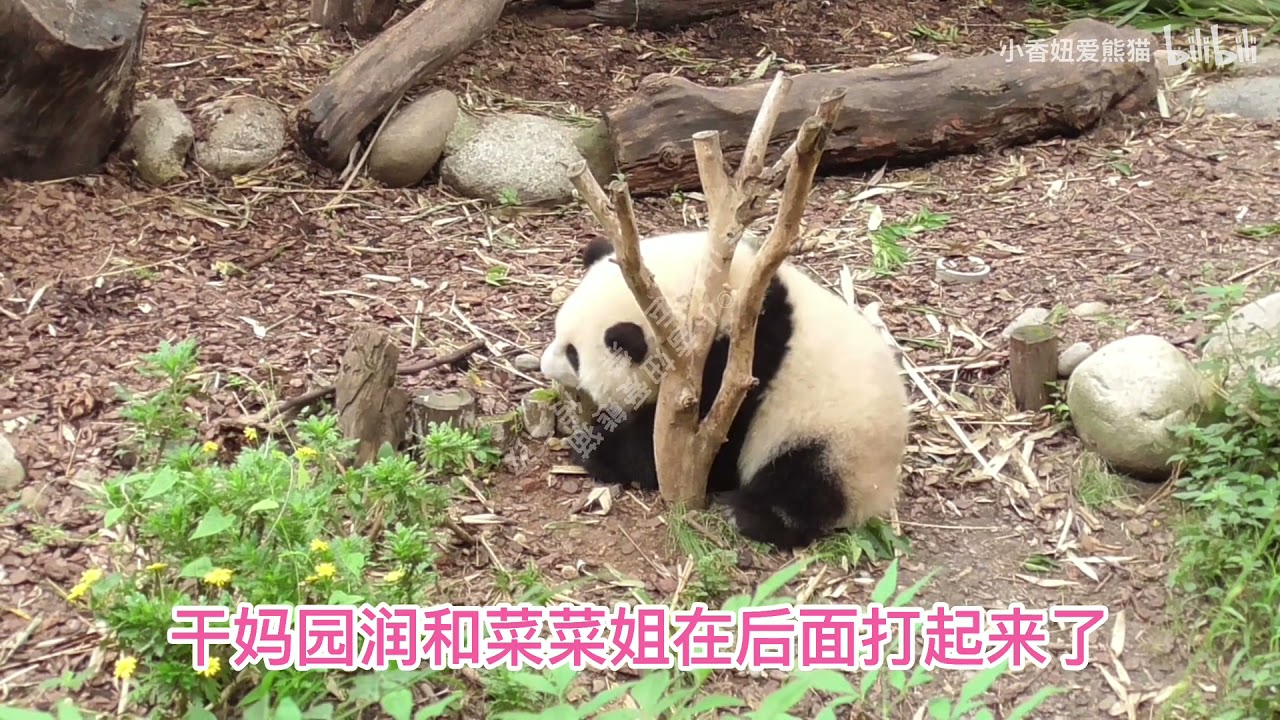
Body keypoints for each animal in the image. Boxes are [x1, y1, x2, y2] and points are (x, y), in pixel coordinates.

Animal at [538, 230, 910, 550]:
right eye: (557, 331)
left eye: (573, 355)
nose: (544, 366)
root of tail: (882, 492)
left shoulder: (739, 368)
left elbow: (695, 450)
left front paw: (594, 446)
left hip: (836, 438)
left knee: (805, 480)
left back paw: (752, 515)